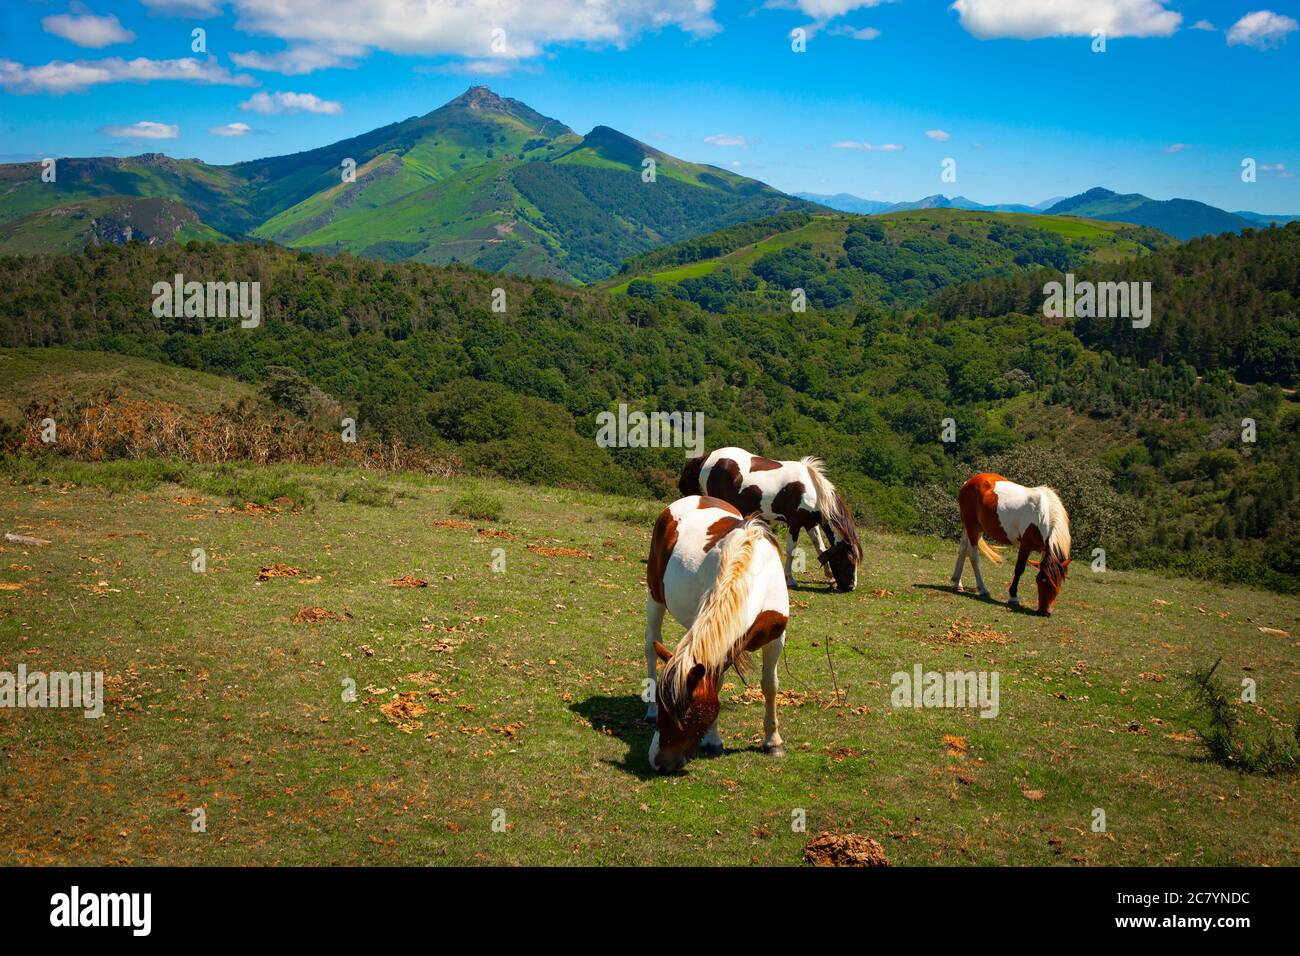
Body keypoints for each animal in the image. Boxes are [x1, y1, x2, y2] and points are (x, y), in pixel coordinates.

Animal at [643, 495, 790, 773]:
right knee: (650, 646)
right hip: (655, 595)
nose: (657, 762)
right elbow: (717, 683)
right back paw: (649, 710)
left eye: (687, 713)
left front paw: (773, 741)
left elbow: (770, 685)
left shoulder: (776, 639)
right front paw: (713, 741)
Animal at [678, 447, 861, 592]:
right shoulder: (794, 524)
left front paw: (830, 577)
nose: (851, 587)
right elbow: (791, 551)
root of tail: (705, 458)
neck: (811, 490)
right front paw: (790, 579)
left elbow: (820, 548)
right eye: (849, 560)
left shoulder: (810, 523)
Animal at [953, 473, 1072, 616]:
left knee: (963, 550)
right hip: (972, 527)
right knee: (973, 555)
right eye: (1040, 581)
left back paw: (957, 582)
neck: (1042, 513)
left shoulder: (1045, 548)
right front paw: (1013, 597)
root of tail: (968, 482)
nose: (1044, 612)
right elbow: (1019, 569)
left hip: (973, 528)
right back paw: (982, 588)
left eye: (1058, 583)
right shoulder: (1025, 546)